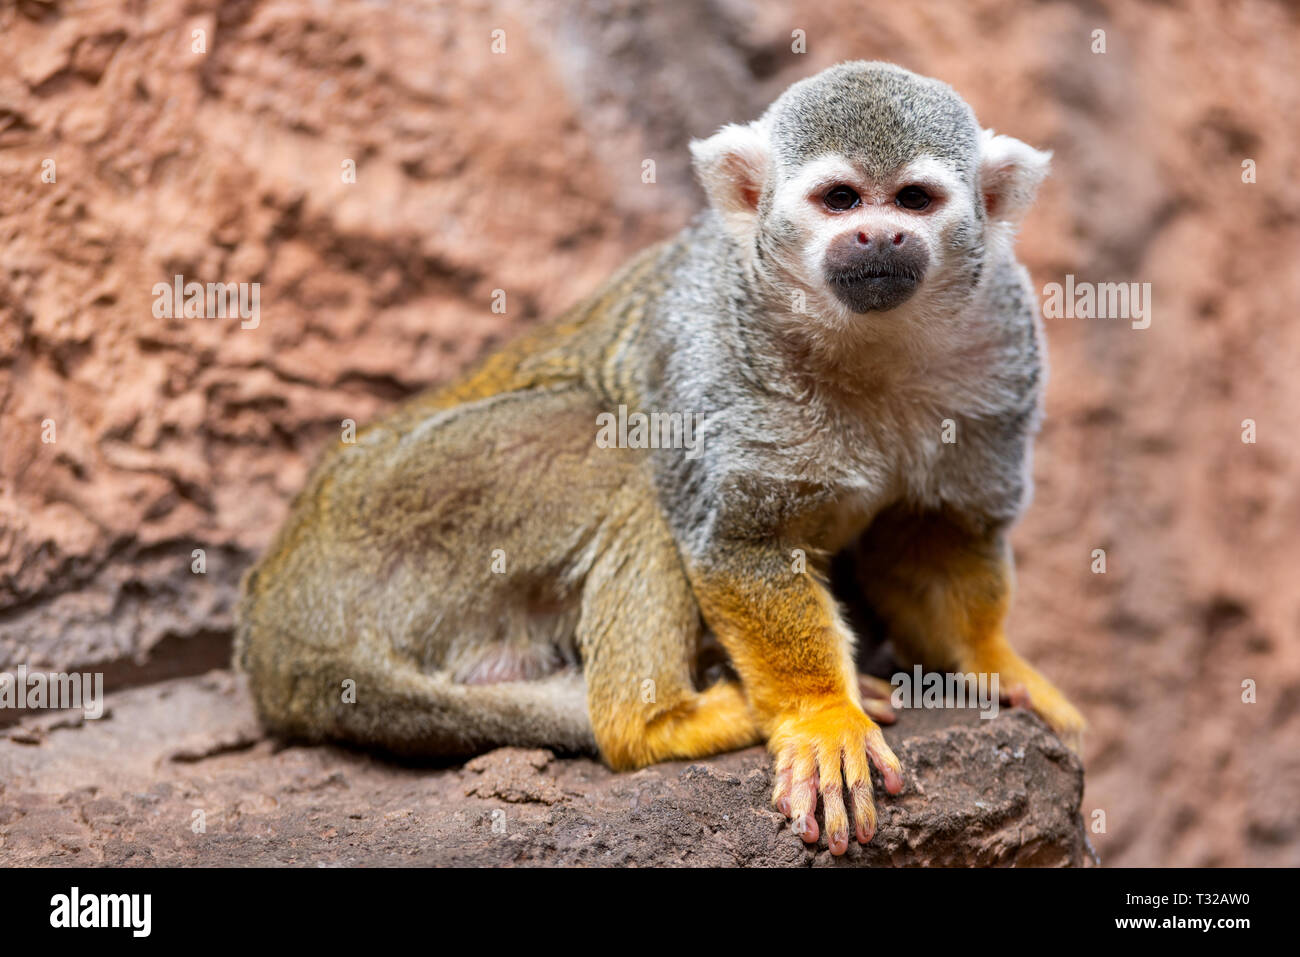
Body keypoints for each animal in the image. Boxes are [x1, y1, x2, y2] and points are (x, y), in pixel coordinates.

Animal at [235, 60, 1084, 857]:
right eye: (841, 200)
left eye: (913, 199)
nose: (880, 237)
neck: (866, 337)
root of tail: (282, 622)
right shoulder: (721, 351)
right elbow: (741, 541)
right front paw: (821, 715)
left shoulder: (1002, 333)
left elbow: (934, 538)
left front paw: (995, 661)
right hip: (397, 510)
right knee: (623, 450)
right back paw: (654, 724)